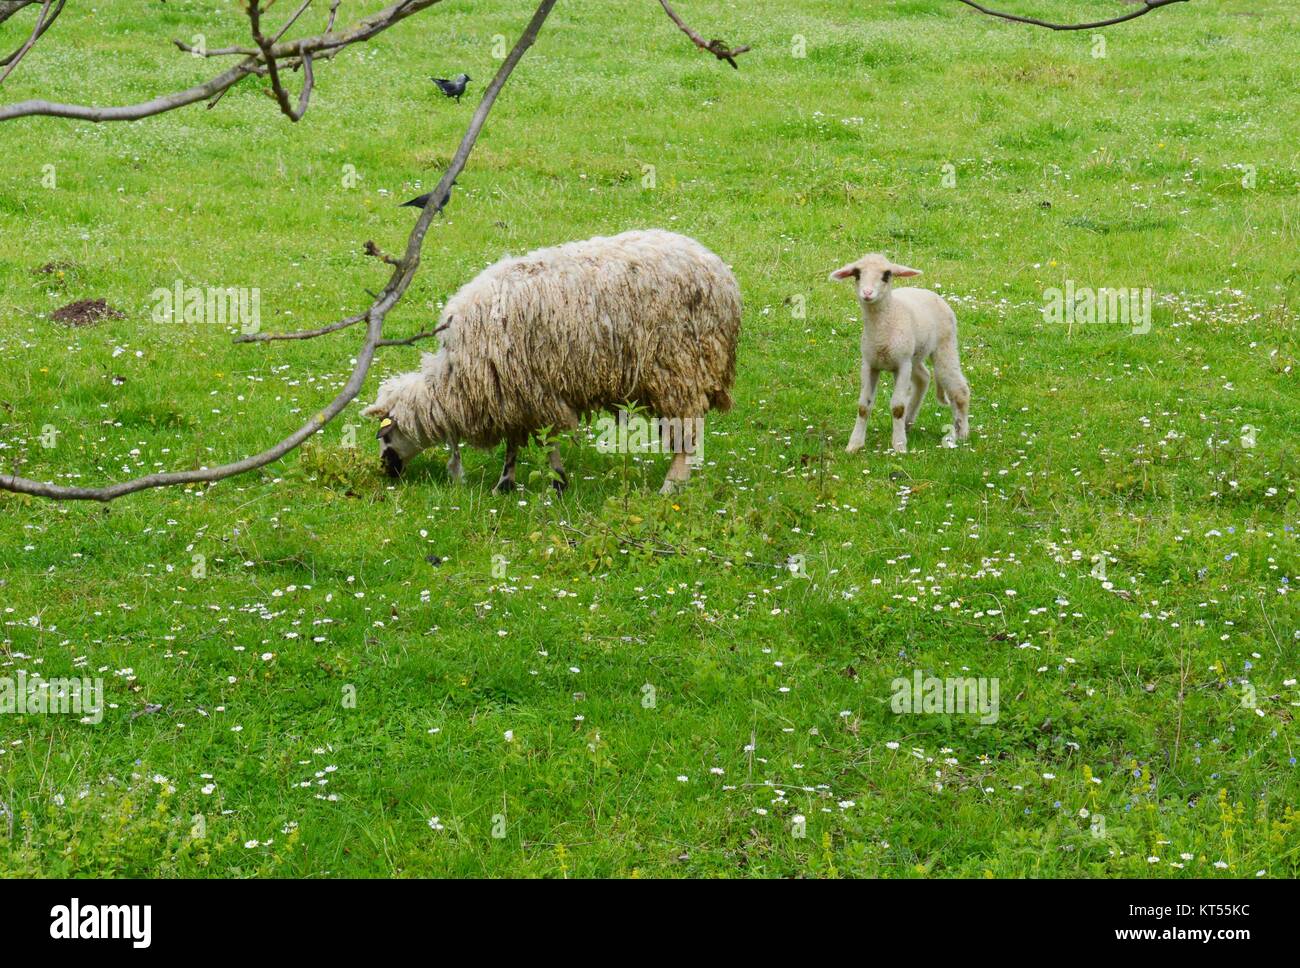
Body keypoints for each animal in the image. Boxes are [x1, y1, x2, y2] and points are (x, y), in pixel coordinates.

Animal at [363, 229, 742, 495]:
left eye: (385, 434)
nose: (387, 470)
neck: (454, 381)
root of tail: (721, 274)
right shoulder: (511, 395)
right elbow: (514, 444)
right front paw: (505, 484)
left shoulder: (535, 391)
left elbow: (548, 442)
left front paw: (558, 482)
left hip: (679, 367)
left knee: (686, 433)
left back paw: (671, 486)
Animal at [829, 253, 970, 454]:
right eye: (857, 274)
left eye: (887, 275)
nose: (867, 293)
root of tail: (929, 292)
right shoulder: (870, 364)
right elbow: (863, 406)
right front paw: (854, 445)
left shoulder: (902, 365)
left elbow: (897, 407)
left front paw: (899, 446)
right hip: (914, 355)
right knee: (923, 378)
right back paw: (908, 422)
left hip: (944, 344)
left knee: (958, 388)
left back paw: (962, 434)